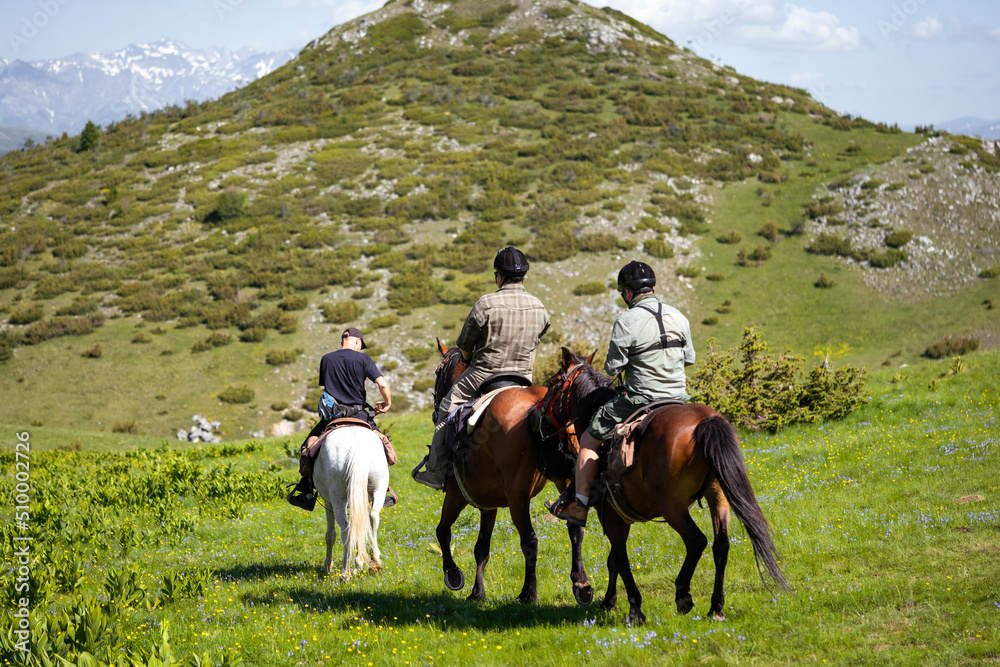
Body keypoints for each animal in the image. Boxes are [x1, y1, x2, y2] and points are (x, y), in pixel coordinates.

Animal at [311, 424, 390, 579]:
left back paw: (345, 574)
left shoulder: (328, 502)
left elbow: (330, 535)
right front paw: (360, 562)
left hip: (338, 500)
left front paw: (328, 566)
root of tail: (357, 447)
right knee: (373, 517)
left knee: (346, 531)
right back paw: (375, 562)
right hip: (379, 489)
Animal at [429, 339, 592, 604]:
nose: (435, 411)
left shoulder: (456, 494)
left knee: (530, 540)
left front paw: (453, 574)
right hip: (565, 480)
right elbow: (481, 548)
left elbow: (442, 531)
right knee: (575, 528)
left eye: (437, 372)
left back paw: (528, 593)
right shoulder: (488, 505)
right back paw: (582, 585)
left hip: (517, 497)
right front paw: (477, 592)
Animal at [536, 347, 790, 624]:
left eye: (552, 383)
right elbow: (614, 559)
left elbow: (619, 558)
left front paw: (633, 609)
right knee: (720, 545)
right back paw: (716, 608)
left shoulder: (611, 515)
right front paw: (609, 602)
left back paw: (683, 594)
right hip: (718, 497)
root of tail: (705, 421)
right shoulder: (617, 515)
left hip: (673, 507)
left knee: (696, 541)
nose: (540, 419)